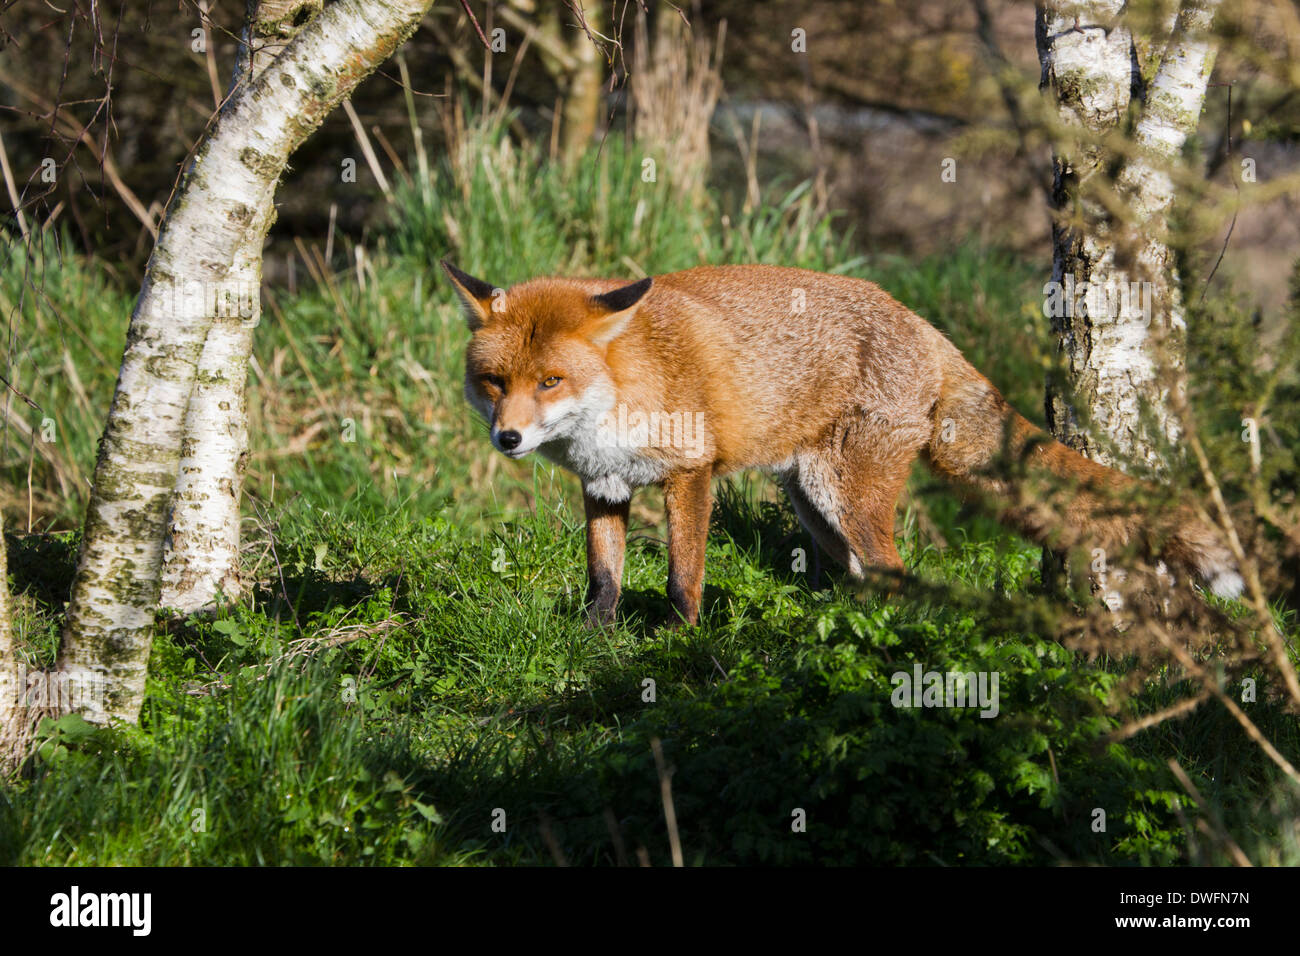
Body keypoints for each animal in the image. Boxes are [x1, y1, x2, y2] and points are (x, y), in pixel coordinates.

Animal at [442, 260, 1242, 628]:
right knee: (865, 576)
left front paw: (679, 643)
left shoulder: (691, 473)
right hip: (813, 506)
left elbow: (682, 578)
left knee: (895, 571)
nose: (508, 436)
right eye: (494, 381)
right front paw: (599, 639)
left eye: (550, 380)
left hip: (844, 496)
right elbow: (604, 580)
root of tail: (923, 324)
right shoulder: (603, 486)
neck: (619, 391)